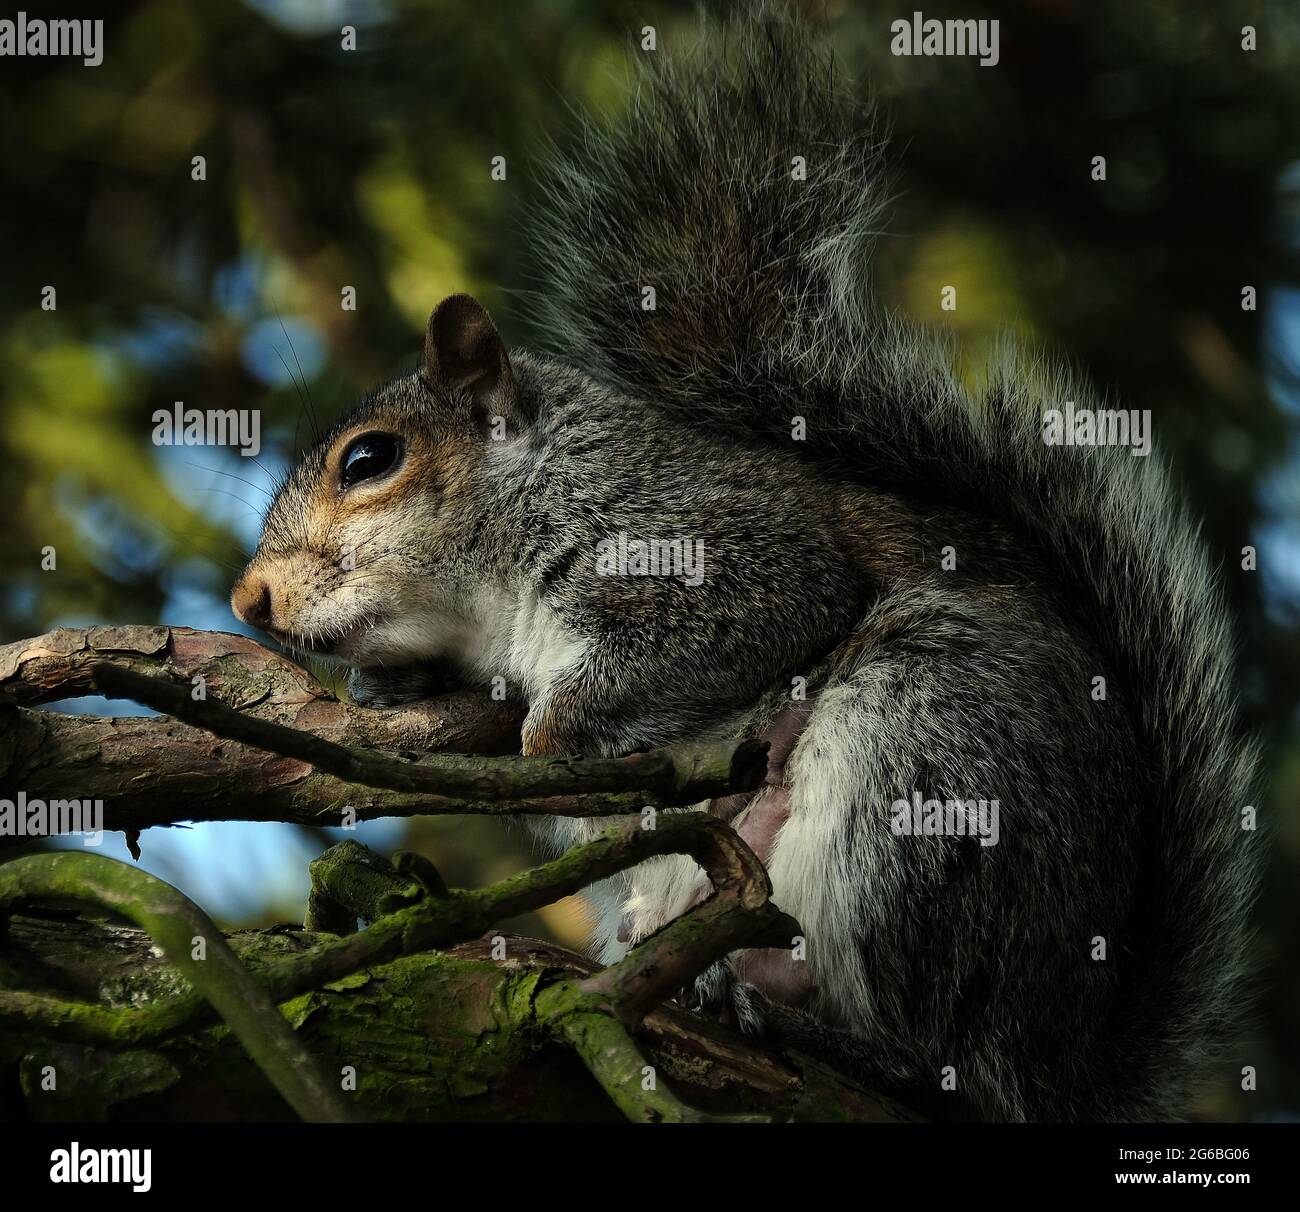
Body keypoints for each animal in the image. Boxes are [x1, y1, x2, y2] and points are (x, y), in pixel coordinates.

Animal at [230, 12, 1259, 1121]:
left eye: (368, 461)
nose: (248, 597)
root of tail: (1062, 1062)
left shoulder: (730, 548)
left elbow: (733, 630)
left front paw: (552, 727)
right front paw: (392, 688)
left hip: (931, 752)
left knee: (930, 1046)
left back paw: (823, 1029)